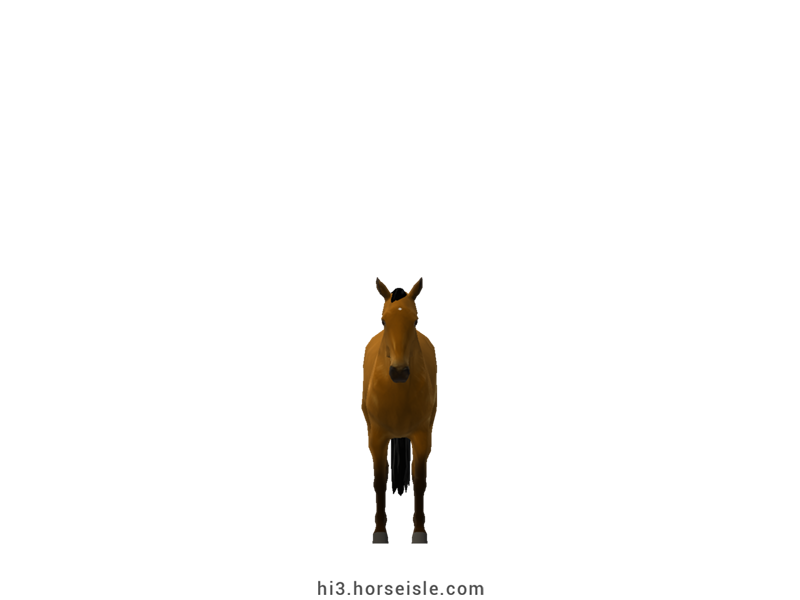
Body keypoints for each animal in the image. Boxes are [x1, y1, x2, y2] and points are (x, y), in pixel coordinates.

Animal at [363, 277, 437, 534]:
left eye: (415, 320)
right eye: (384, 320)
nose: (399, 372)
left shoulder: (422, 435)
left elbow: (421, 482)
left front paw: (420, 531)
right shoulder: (377, 437)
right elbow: (378, 482)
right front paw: (379, 531)